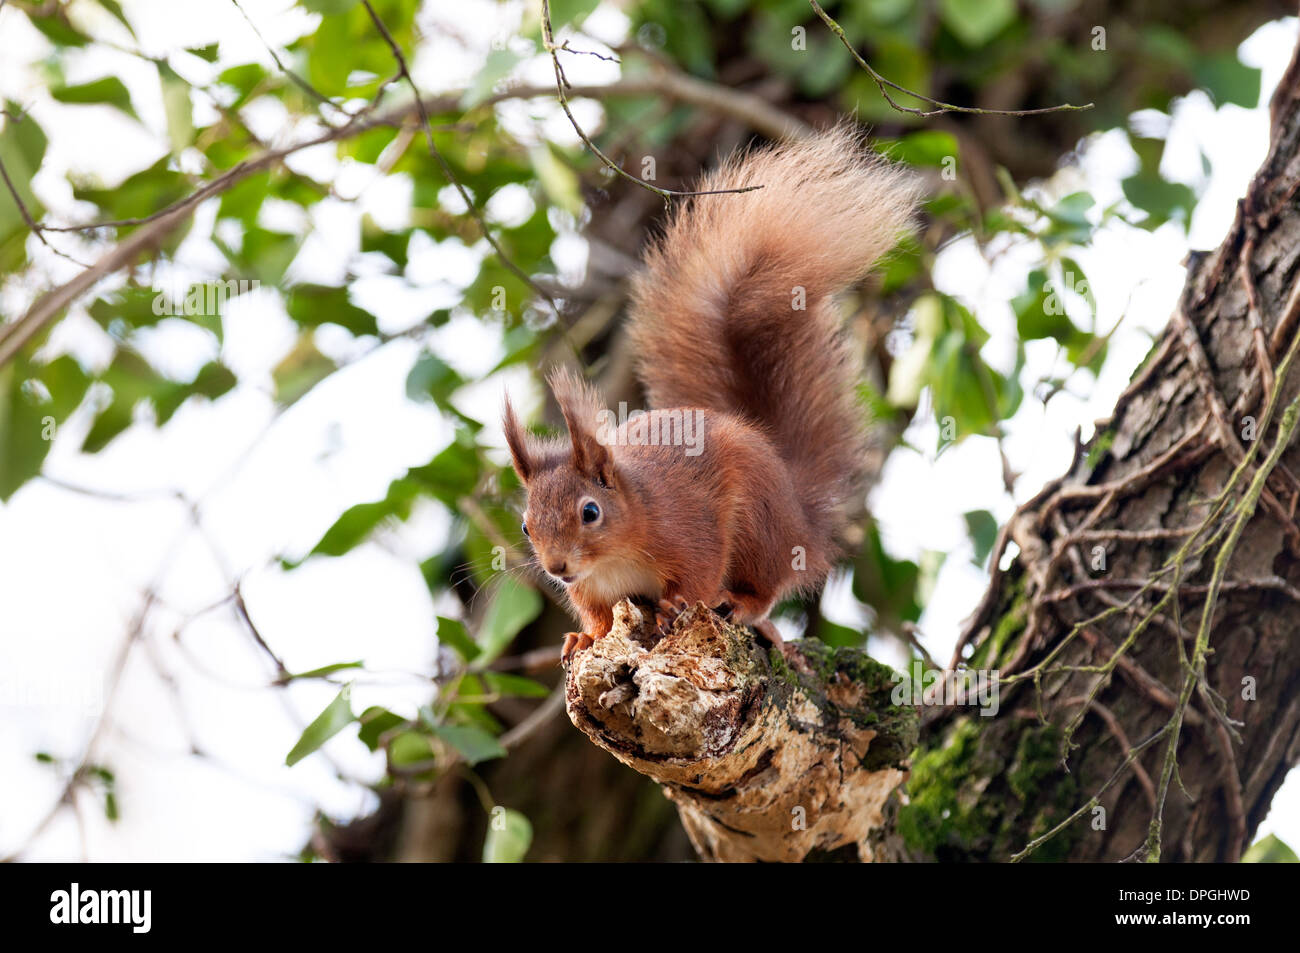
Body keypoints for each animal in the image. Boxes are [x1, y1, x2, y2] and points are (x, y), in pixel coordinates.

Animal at [502, 126, 919, 662]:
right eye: (526, 525)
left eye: (590, 512)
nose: (556, 567)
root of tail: (797, 512)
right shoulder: (592, 589)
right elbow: (598, 616)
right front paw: (586, 636)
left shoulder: (690, 528)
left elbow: (698, 573)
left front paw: (675, 607)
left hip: (760, 526)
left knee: (765, 587)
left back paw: (740, 603)